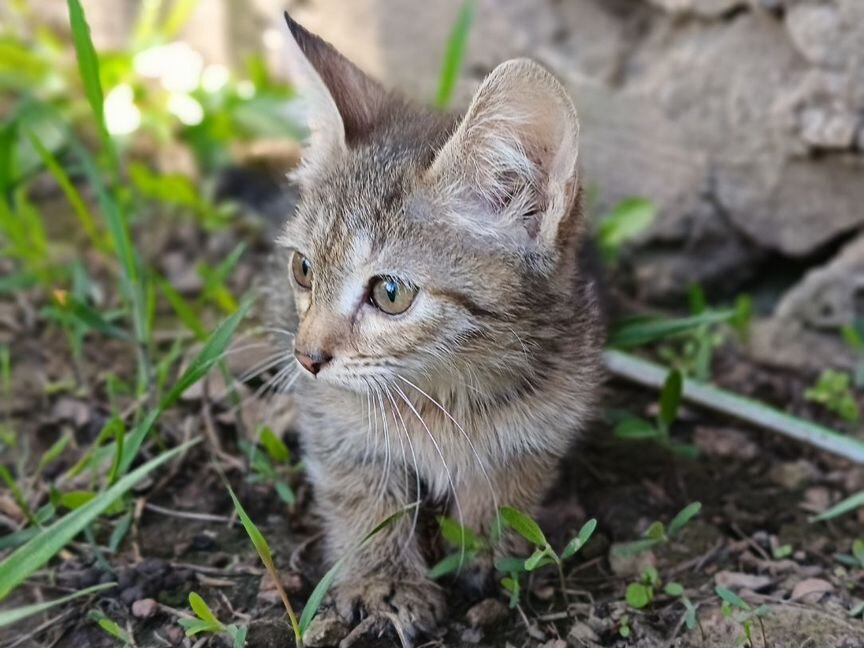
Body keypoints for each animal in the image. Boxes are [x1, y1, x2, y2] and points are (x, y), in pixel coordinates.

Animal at [274, 12, 604, 644]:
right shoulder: (334, 421)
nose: (307, 357)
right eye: (304, 269)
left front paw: (486, 557)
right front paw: (384, 583)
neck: (440, 394)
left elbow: (504, 489)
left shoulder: (548, 417)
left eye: (390, 293)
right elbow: (361, 496)